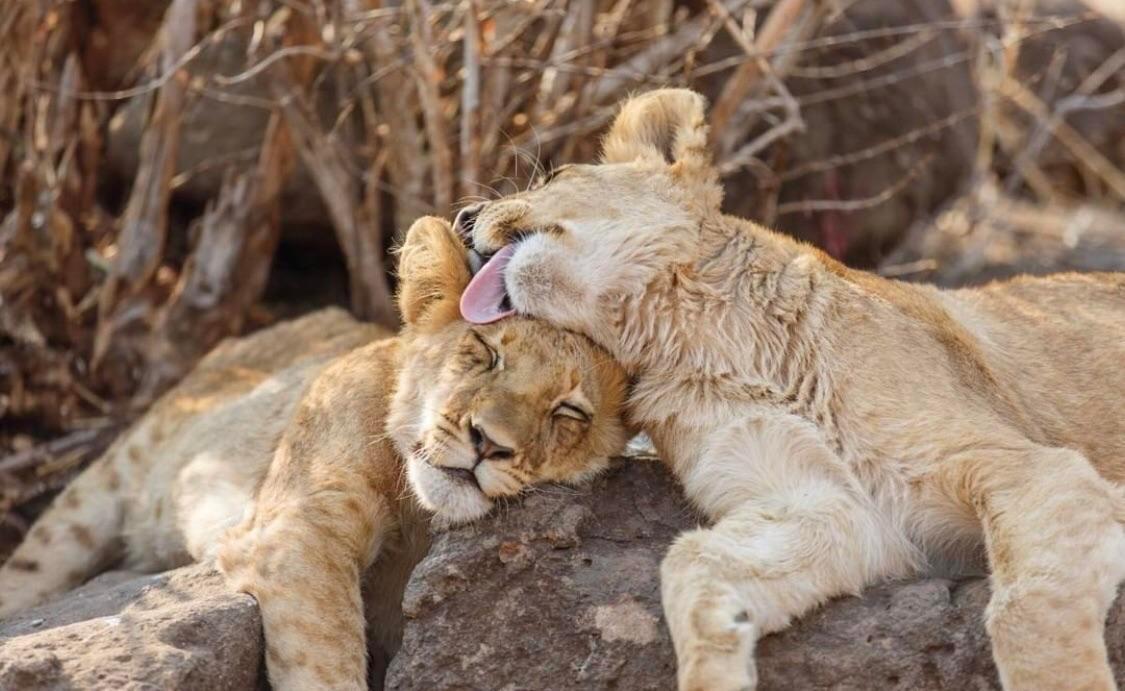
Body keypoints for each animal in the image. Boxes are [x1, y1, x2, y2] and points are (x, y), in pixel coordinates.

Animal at [0, 217, 630, 690]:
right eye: (486, 351)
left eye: (569, 411)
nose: (489, 442)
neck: (419, 521)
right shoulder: (297, 525)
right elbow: (324, 655)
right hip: (97, 492)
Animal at [458, 88, 1125, 690]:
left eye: (556, 175)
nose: (464, 220)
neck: (694, 334)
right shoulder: (835, 510)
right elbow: (692, 563)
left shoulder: (1028, 469)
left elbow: (1029, 614)